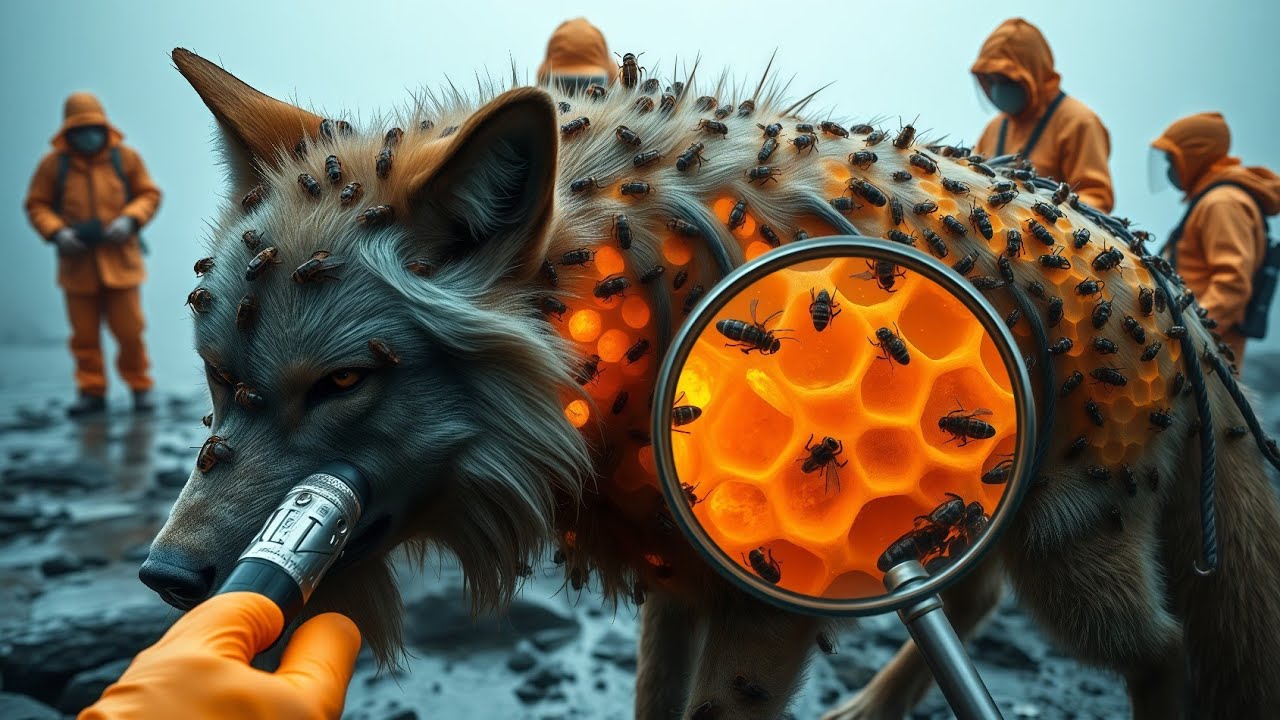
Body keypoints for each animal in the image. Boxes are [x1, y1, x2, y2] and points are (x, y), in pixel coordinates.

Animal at [140, 47, 1280, 719]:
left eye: (341, 382)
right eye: (218, 380)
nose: (166, 580)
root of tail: (1171, 288)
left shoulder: (761, 607)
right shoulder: (674, 573)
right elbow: (655, 699)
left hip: (1067, 561)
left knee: (1161, 650)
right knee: (979, 593)